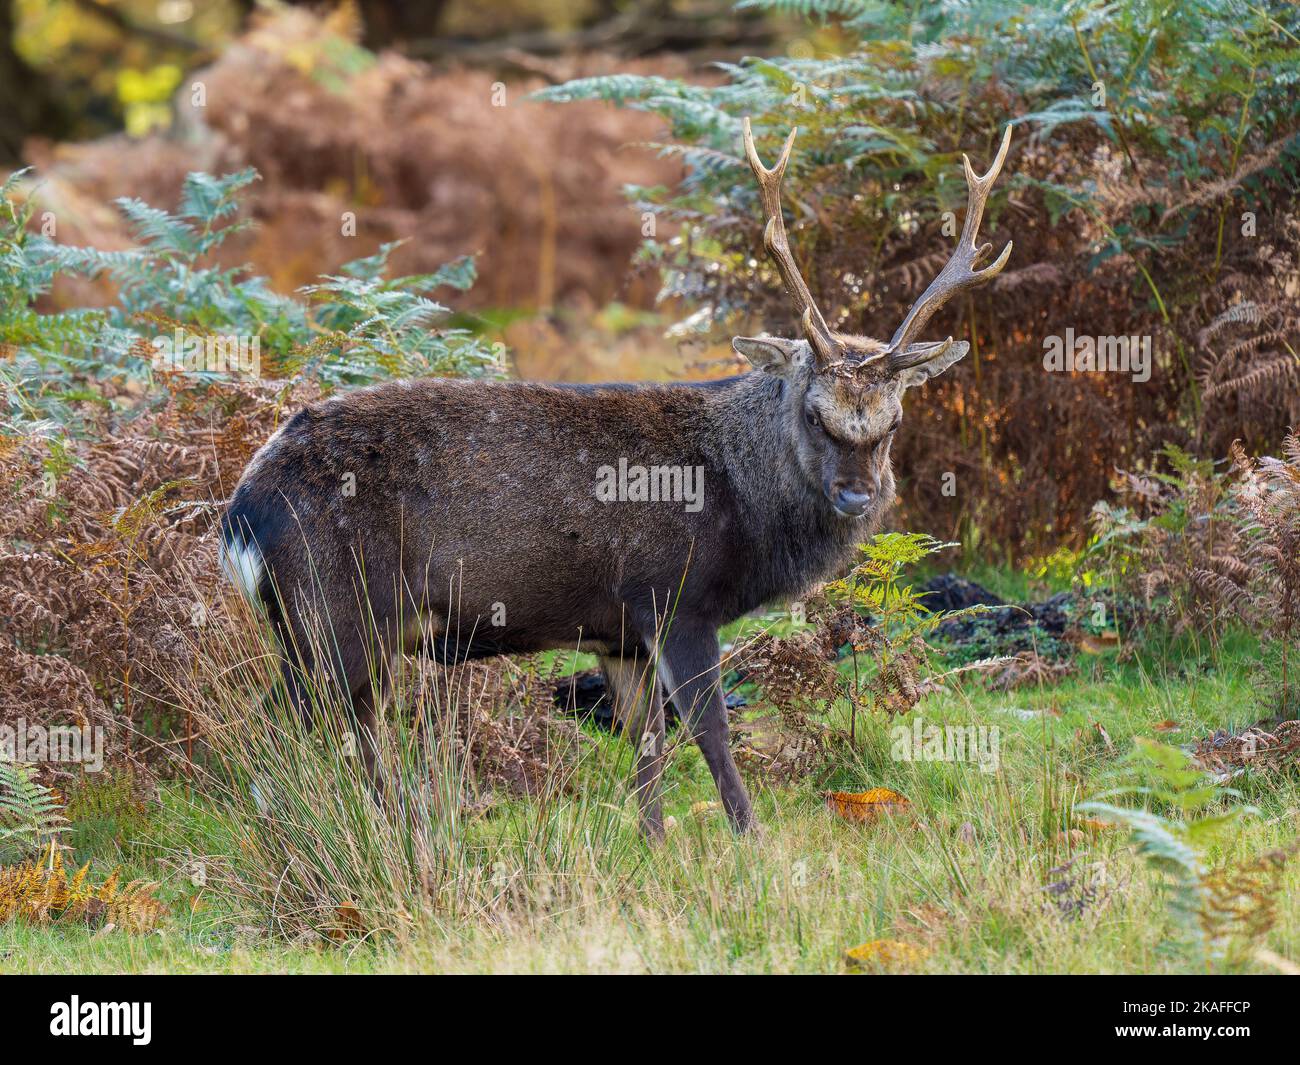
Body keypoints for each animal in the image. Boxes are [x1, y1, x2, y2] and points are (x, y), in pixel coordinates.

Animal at [220, 119, 1013, 837]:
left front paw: (655, 841)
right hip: (333, 607)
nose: (856, 494)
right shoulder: (674, 597)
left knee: (333, 726)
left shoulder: (618, 632)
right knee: (280, 728)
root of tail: (242, 512)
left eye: (894, 422)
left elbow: (647, 743)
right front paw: (750, 838)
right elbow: (710, 730)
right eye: (815, 413)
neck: (741, 507)